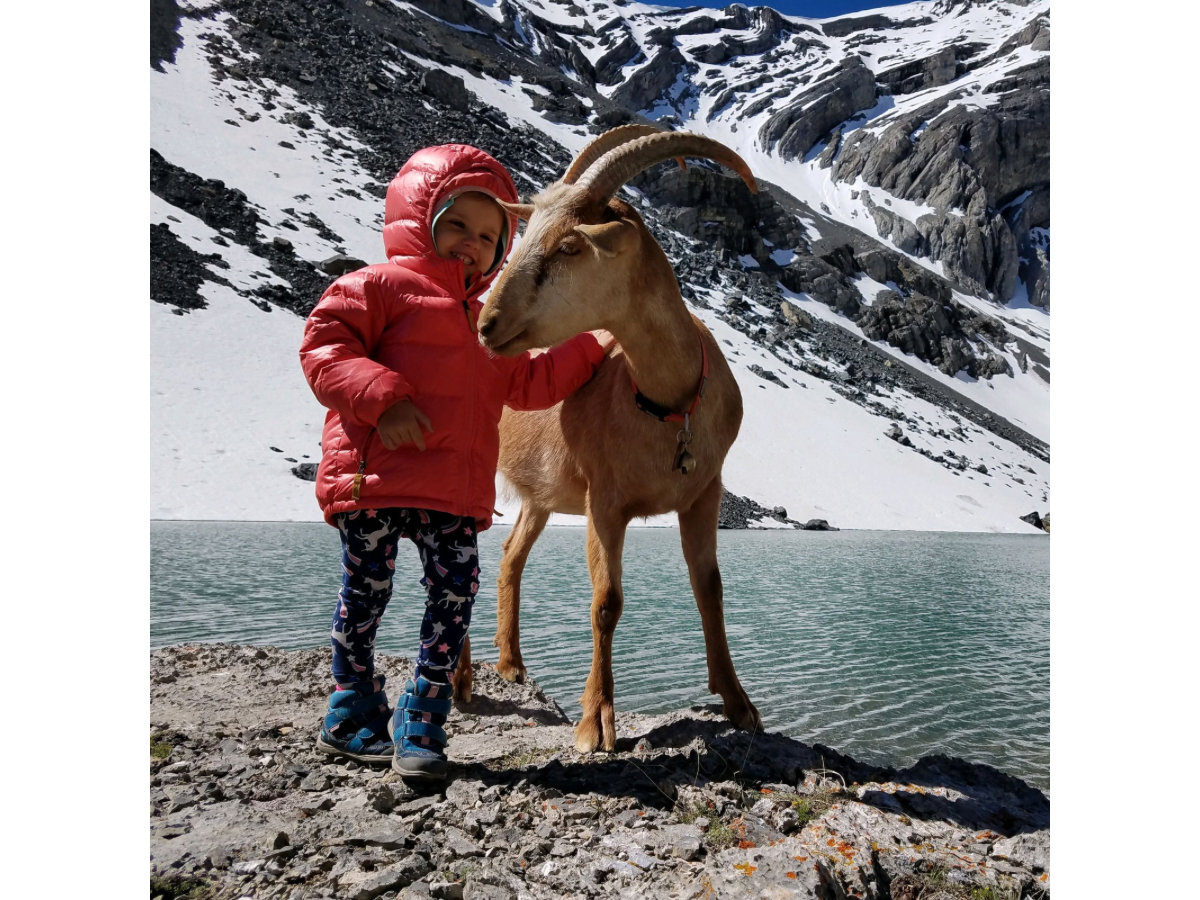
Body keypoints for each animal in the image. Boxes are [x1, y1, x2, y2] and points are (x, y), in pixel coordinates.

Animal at [449, 126, 762, 752]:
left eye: (570, 246)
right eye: (524, 234)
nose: (487, 324)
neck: (666, 408)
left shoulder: (704, 494)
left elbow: (710, 587)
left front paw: (740, 704)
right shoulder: (605, 500)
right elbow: (606, 603)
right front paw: (595, 720)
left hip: (539, 497)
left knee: (509, 556)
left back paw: (511, 664)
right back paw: (461, 677)